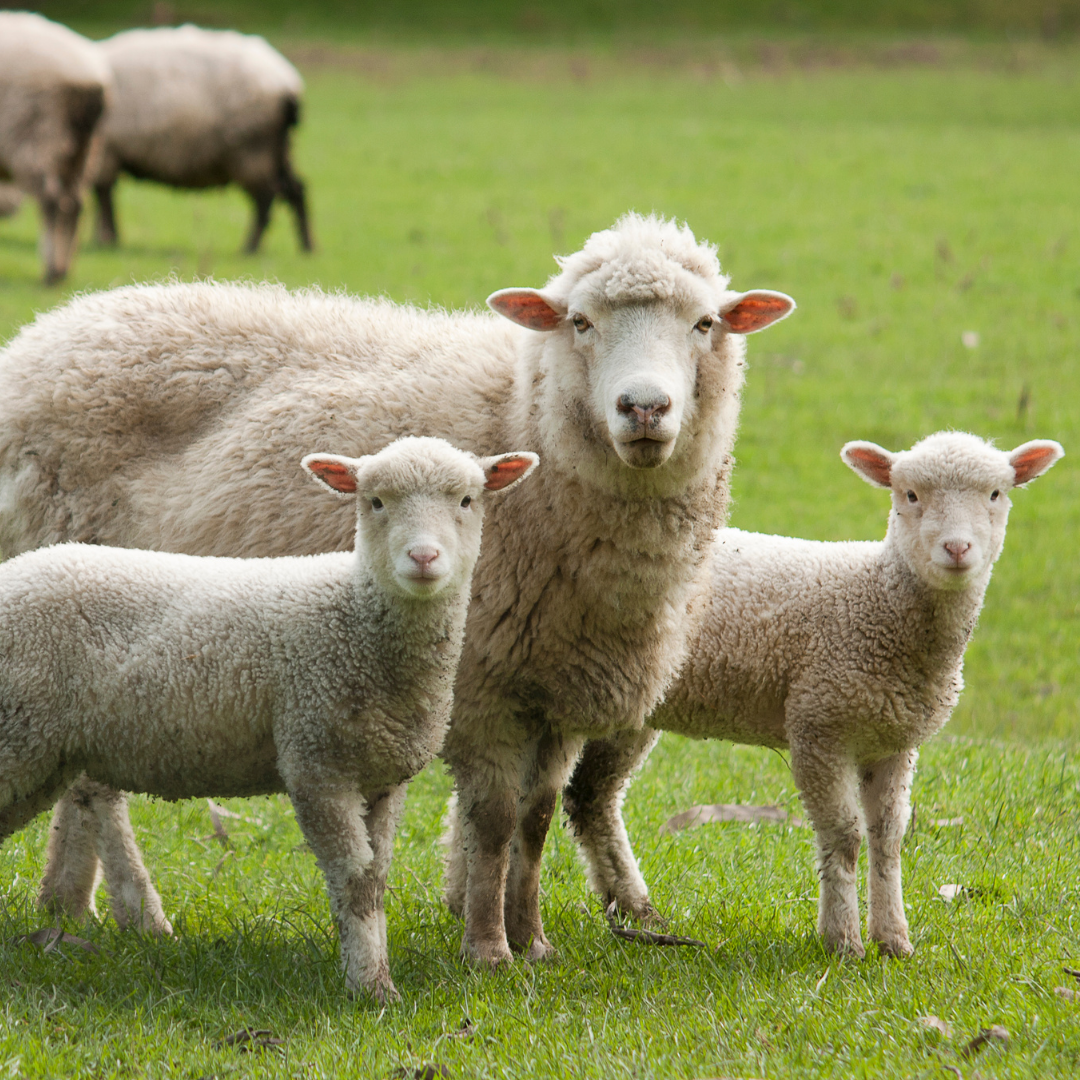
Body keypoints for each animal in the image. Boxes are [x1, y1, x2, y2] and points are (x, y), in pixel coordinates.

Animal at [0, 12, 112, 283]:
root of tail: (88, 75)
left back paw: (52, 270)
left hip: (36, 134)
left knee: (52, 201)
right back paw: (64, 269)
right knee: (75, 203)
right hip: (85, 147)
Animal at [1, 435, 538, 1001]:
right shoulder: (315, 762)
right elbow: (353, 881)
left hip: (54, 747)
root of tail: (18, 568)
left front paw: (375, 975)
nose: (423, 557)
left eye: (467, 501)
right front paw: (370, 988)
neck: (354, 615)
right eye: (375, 502)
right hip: (19, 731)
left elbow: (375, 880)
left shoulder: (383, 777)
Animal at [91, 25, 312, 253]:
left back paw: (250, 247)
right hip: (278, 147)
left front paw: (106, 240)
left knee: (266, 196)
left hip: (252, 150)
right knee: (296, 189)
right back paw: (307, 247)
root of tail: (286, 82)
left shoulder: (105, 152)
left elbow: (102, 196)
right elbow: (102, 196)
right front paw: (103, 239)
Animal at [569, 431, 1064, 959]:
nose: (956, 548)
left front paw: (893, 940)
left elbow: (888, 838)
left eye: (996, 494)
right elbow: (844, 836)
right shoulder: (817, 724)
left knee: (592, 798)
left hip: (627, 706)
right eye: (909, 495)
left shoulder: (892, 740)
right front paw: (842, 941)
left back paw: (634, 909)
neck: (877, 600)